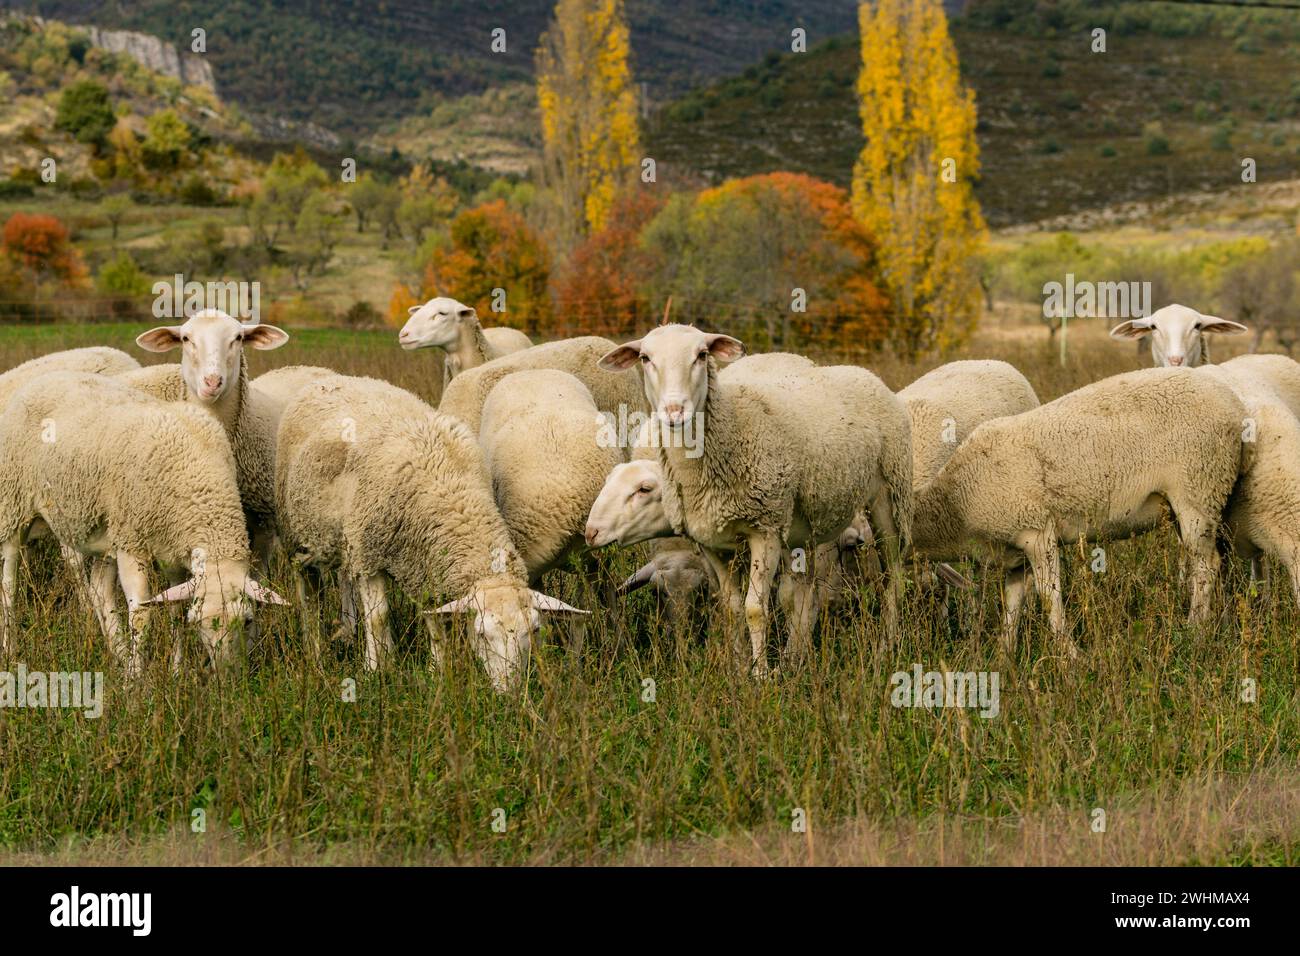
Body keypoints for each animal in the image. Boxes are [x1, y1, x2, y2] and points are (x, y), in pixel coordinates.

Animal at [0, 372, 287, 675]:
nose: (227, 677)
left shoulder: (172, 550)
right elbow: (141, 615)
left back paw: (118, 653)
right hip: (14, 504)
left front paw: (175, 671)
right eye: (199, 622)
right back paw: (9, 649)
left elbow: (174, 611)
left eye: (247, 621)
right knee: (8, 586)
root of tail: (47, 377)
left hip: (106, 531)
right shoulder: (132, 544)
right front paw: (136, 679)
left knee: (100, 591)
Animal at [274, 373, 587, 688]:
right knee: (309, 596)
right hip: (298, 535)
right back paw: (314, 649)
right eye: (482, 635)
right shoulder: (368, 553)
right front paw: (376, 670)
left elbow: (436, 621)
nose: (509, 691)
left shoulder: (427, 561)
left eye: (534, 631)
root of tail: (332, 380)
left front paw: (438, 669)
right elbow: (378, 617)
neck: (452, 492)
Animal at [598, 325, 912, 676]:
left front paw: (761, 674)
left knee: (892, 579)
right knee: (803, 592)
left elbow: (755, 608)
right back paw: (794, 657)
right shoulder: (713, 543)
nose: (674, 411)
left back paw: (886, 648)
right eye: (645, 358)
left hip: (890, 499)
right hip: (805, 527)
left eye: (701, 355)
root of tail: (864, 373)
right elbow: (732, 607)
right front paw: (737, 670)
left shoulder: (766, 530)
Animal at [910, 368, 1247, 656]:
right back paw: (1221, 626)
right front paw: (1005, 657)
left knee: (1206, 566)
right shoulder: (1015, 551)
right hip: (1200, 499)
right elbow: (1013, 605)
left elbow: (1050, 599)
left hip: (1199, 489)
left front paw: (1071, 657)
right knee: (1219, 561)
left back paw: (1194, 635)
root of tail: (1234, 403)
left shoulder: (1037, 533)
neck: (955, 502)